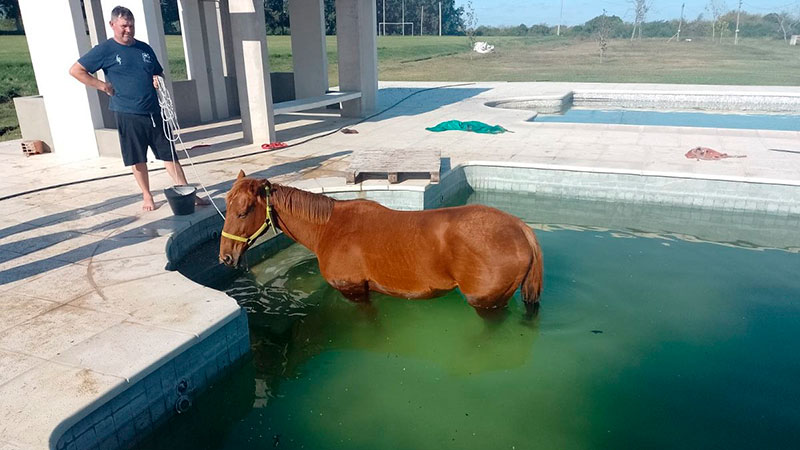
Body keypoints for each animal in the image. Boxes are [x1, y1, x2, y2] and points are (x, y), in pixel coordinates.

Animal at [219, 170, 543, 313]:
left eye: (243, 211)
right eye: (226, 204)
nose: (225, 256)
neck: (330, 229)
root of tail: (519, 228)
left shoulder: (354, 291)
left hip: (487, 303)